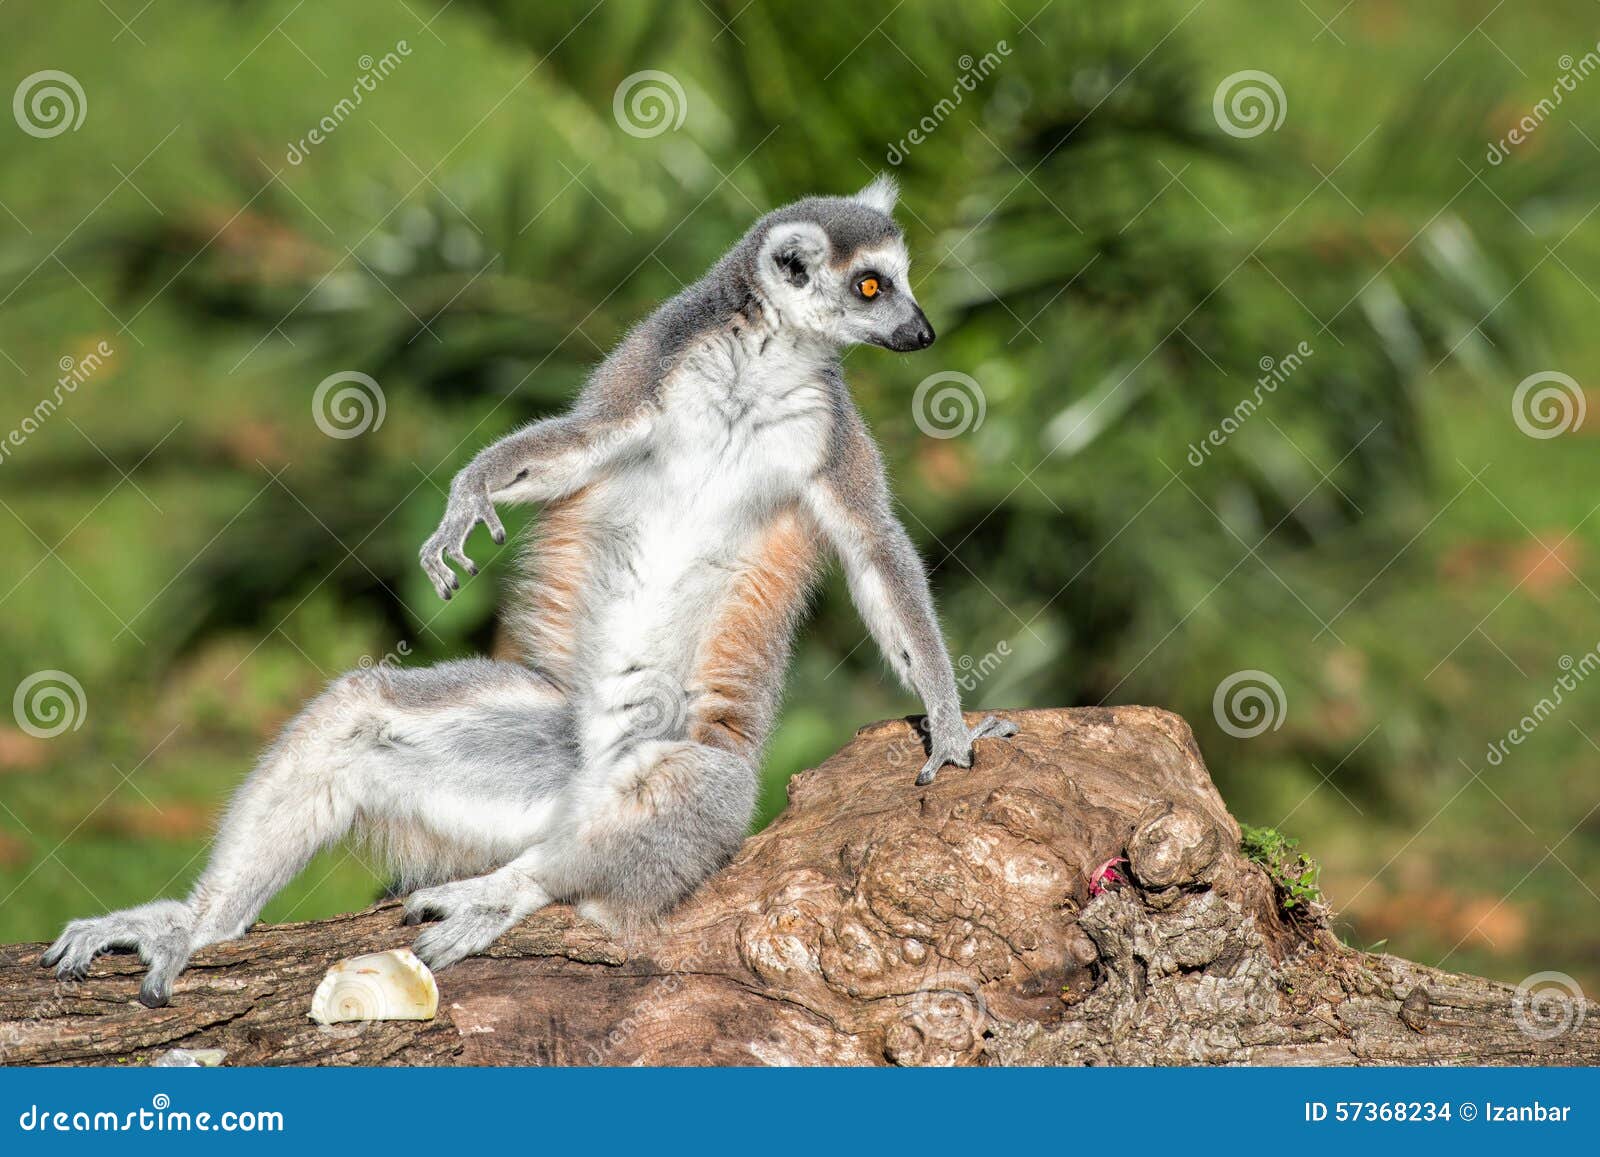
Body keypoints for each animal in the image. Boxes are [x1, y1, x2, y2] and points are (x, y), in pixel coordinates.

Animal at [42, 176, 1017, 1007]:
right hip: (525, 760)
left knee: (674, 792)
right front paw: (470, 494)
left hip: (649, 775)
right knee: (360, 710)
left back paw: (502, 895)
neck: (763, 363)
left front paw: (950, 721)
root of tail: (582, 790)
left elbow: (874, 550)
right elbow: (581, 440)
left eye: (898, 283)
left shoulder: (830, 432)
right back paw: (200, 924)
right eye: (870, 286)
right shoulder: (656, 362)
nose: (923, 334)